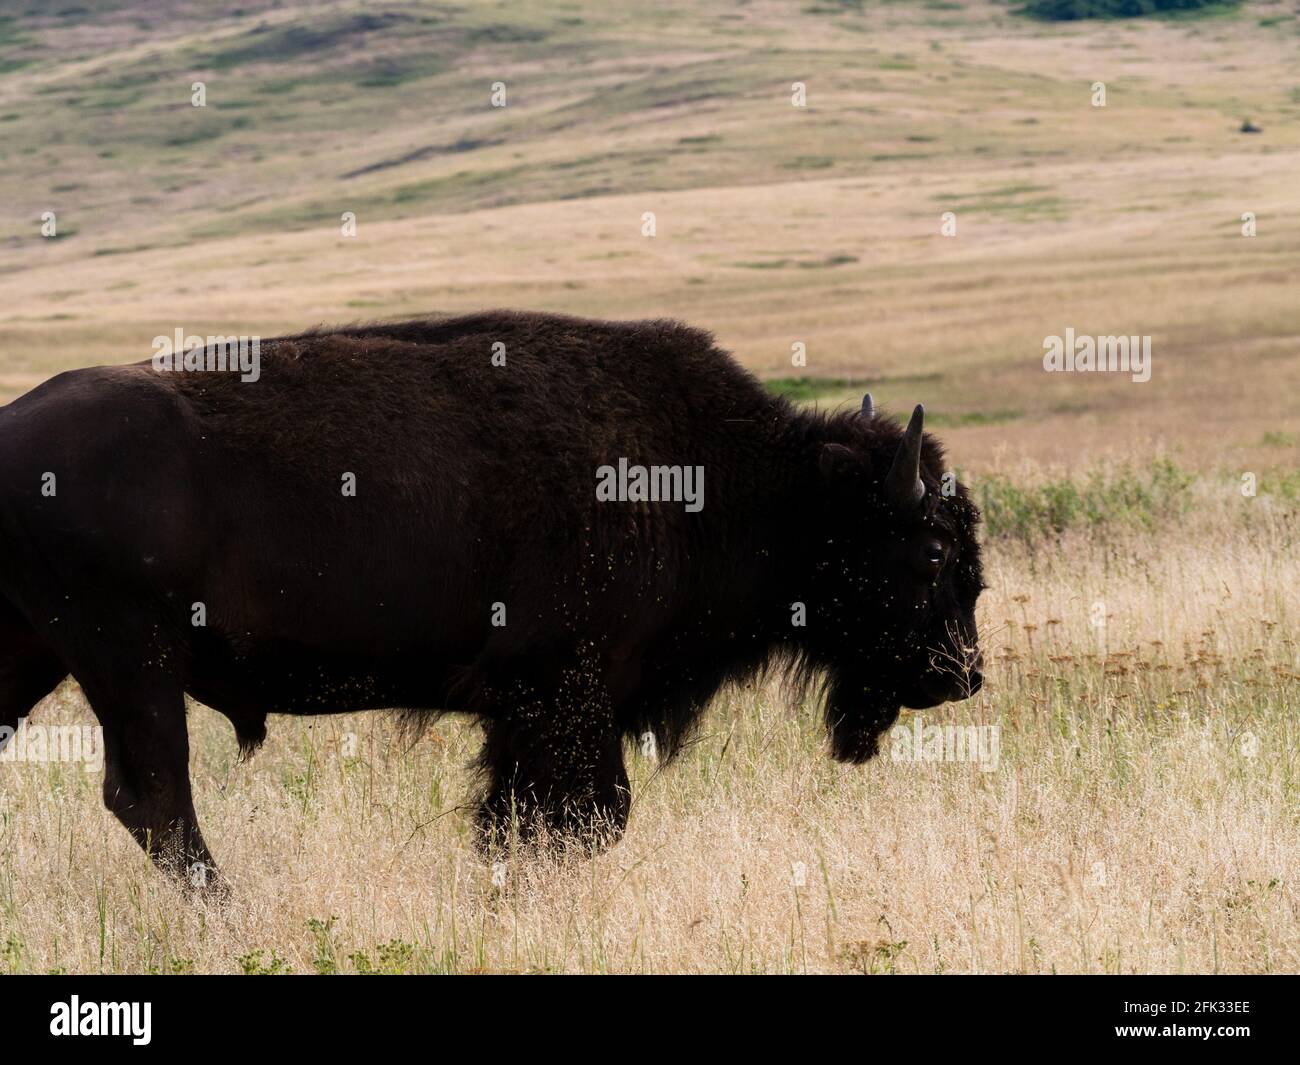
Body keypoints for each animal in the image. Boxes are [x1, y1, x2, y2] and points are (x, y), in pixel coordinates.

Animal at [0, 311, 984, 890]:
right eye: (932, 548)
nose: (965, 674)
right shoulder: (565, 694)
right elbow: (586, 815)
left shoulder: (530, 713)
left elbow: (526, 817)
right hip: (130, 663)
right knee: (157, 797)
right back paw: (232, 909)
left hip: (44, 656)